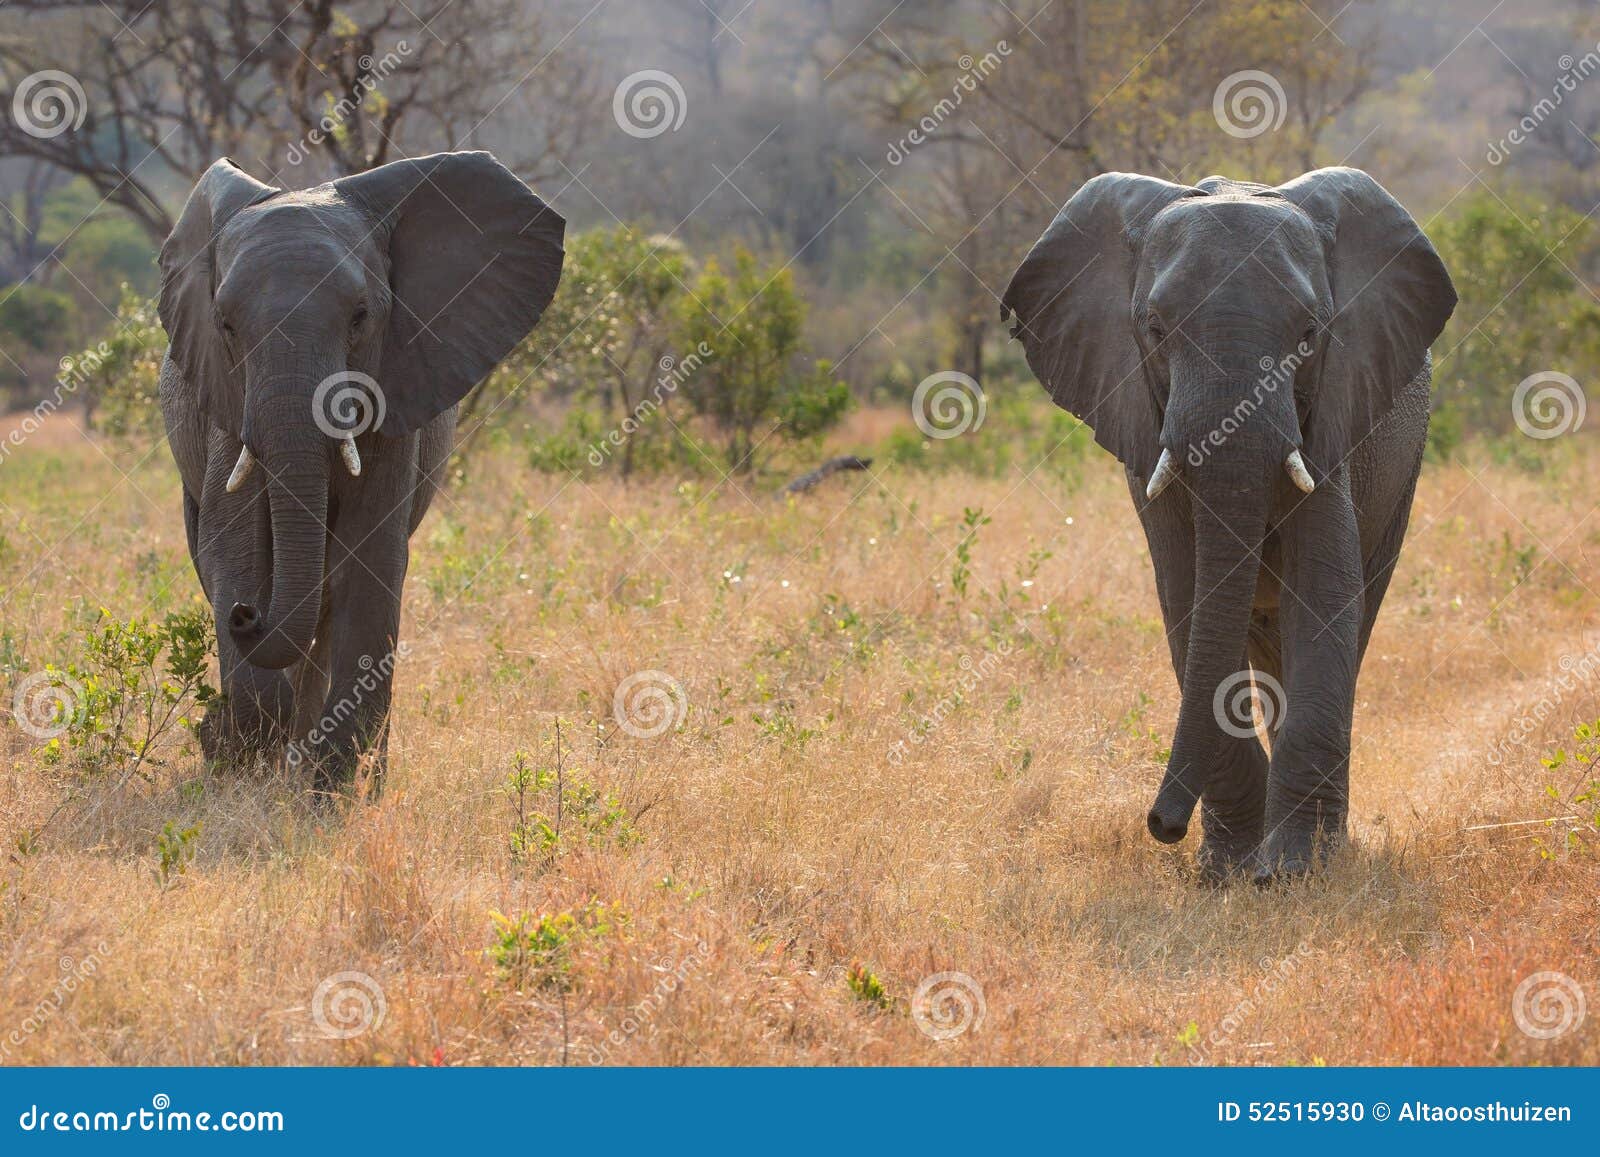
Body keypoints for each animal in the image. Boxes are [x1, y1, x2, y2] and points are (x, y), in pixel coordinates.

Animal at [156, 150, 565, 793]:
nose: (246, 616)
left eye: (360, 318)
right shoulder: (225, 403)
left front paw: (329, 794)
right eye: (225, 326)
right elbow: (235, 548)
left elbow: (369, 566)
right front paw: (245, 763)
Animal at [1001, 167, 1456, 882]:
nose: (1161, 825)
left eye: (1310, 335)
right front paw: (1229, 873)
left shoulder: (1334, 419)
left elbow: (1322, 593)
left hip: (1402, 472)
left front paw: (1294, 873)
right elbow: (1187, 597)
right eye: (1154, 329)